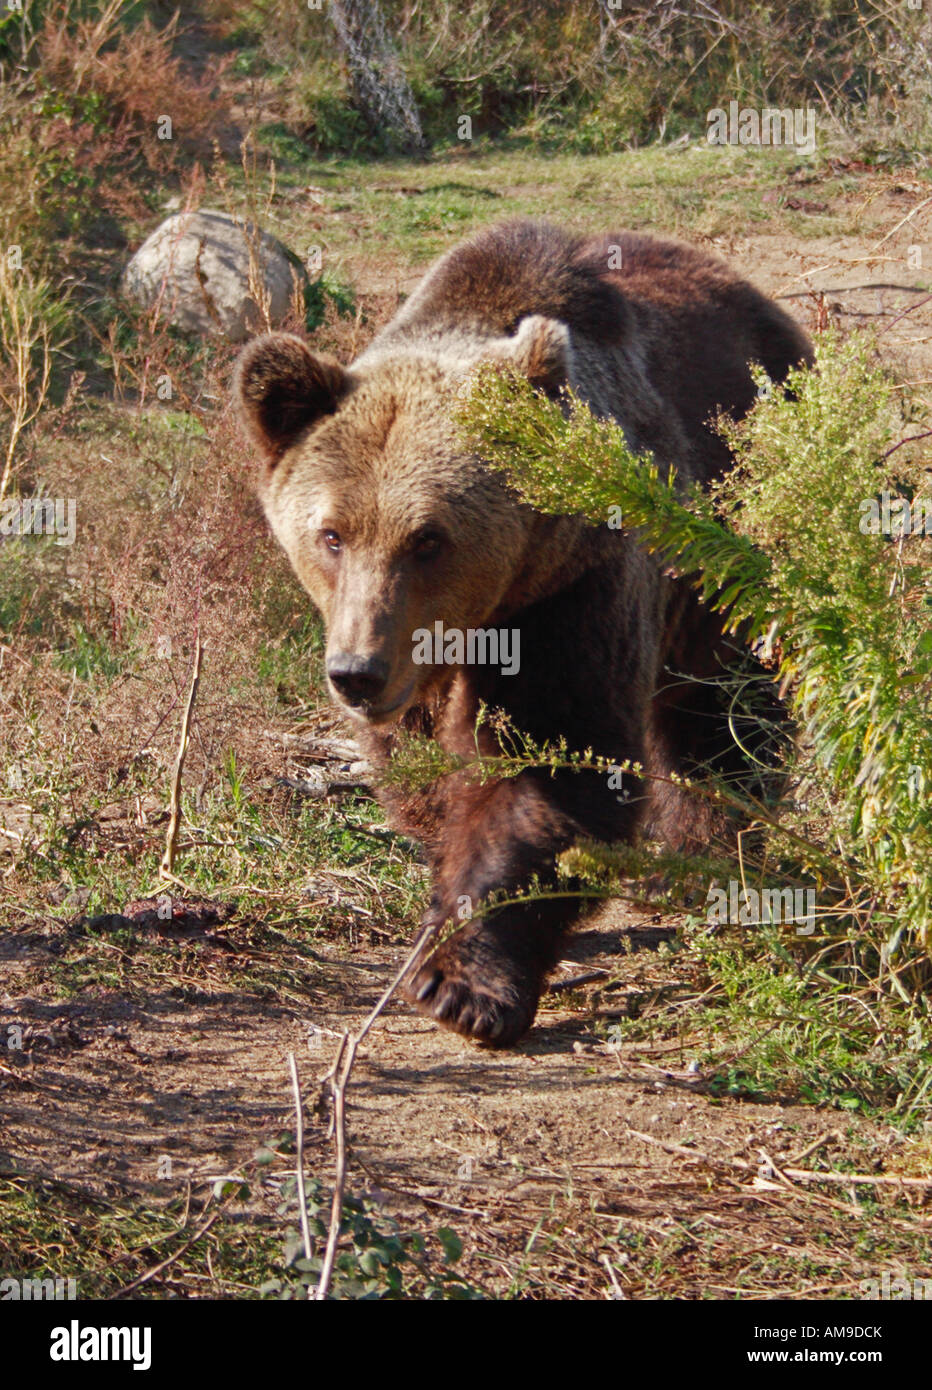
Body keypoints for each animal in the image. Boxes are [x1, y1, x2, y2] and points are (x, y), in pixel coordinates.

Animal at [234, 218, 812, 1048]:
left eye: (428, 539)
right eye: (332, 534)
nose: (355, 674)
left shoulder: (573, 590)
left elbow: (552, 765)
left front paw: (462, 982)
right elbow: (427, 777)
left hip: (736, 530)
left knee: (724, 723)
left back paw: (705, 865)